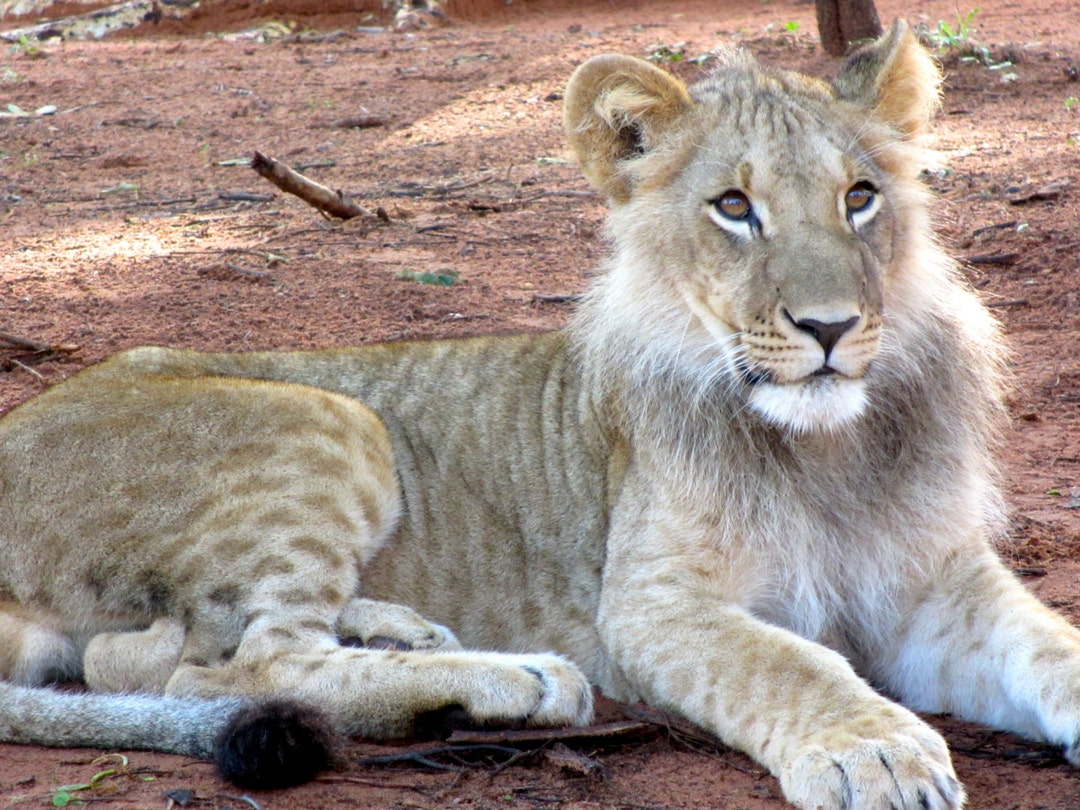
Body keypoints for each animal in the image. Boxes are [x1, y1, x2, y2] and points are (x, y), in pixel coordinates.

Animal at [2, 21, 1079, 809]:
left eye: (860, 197)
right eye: (734, 208)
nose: (829, 327)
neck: (827, 447)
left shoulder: (933, 581)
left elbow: (1050, 645)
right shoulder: (651, 608)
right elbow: (789, 664)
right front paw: (878, 755)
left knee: (148, 656)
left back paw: (408, 636)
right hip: (328, 419)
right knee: (208, 667)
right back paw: (514, 679)